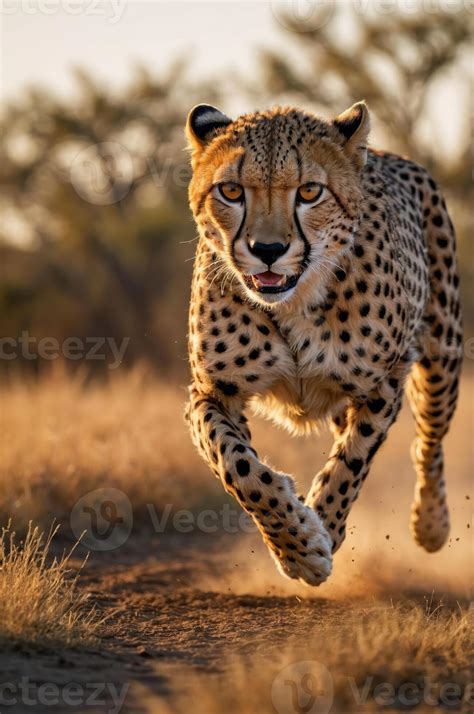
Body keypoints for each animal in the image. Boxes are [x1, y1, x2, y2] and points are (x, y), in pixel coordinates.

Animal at [184, 100, 463, 586]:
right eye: (232, 191)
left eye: (310, 192)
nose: (268, 249)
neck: (294, 301)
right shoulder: (212, 392)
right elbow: (237, 466)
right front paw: (296, 545)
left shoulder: (382, 383)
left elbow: (352, 460)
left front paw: (324, 528)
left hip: (441, 361)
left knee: (427, 443)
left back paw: (431, 524)